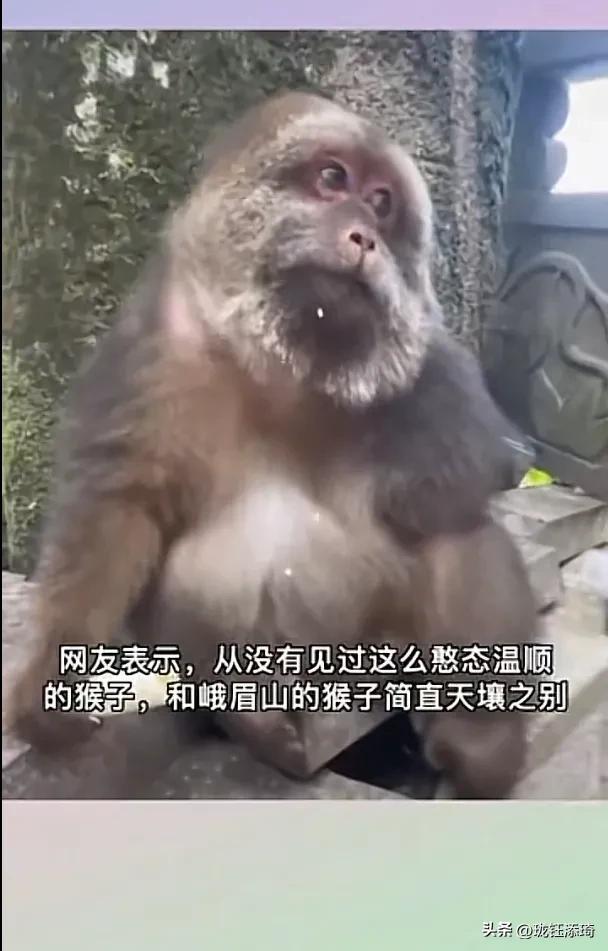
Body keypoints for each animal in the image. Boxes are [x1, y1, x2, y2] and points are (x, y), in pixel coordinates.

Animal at [9, 91, 537, 798]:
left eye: (381, 202)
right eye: (332, 179)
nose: (364, 236)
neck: (283, 366)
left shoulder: (432, 374)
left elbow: (473, 476)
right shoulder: (153, 349)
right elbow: (121, 506)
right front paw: (49, 683)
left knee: (457, 537)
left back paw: (480, 741)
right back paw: (254, 723)